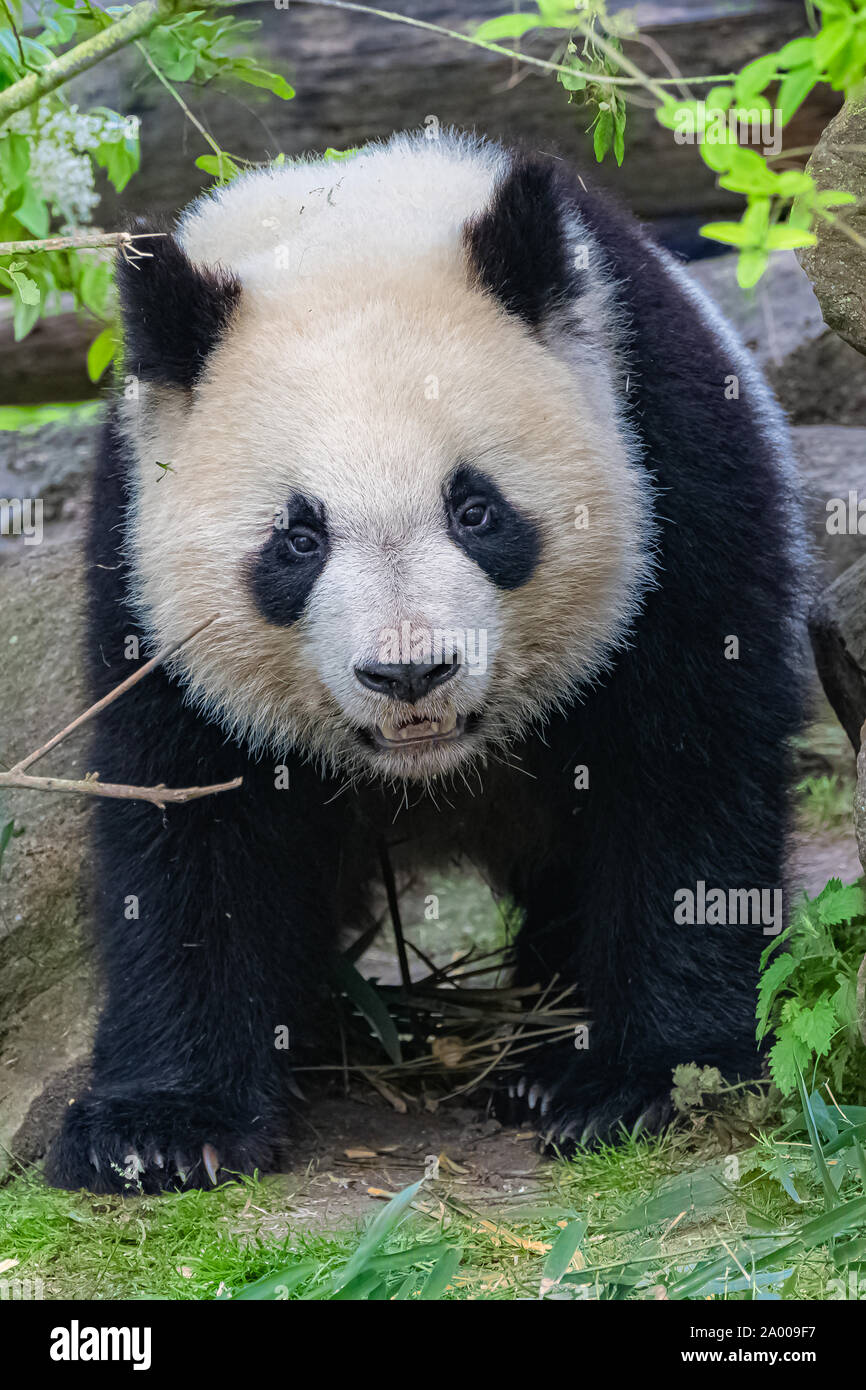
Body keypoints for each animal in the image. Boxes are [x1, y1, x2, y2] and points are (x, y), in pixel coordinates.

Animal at [46, 130, 808, 1193]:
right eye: (297, 539)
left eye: (476, 510)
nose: (410, 676)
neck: (351, 225)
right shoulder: (138, 566)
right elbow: (185, 824)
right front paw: (159, 1130)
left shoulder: (672, 456)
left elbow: (688, 772)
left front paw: (644, 1083)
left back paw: (543, 1064)